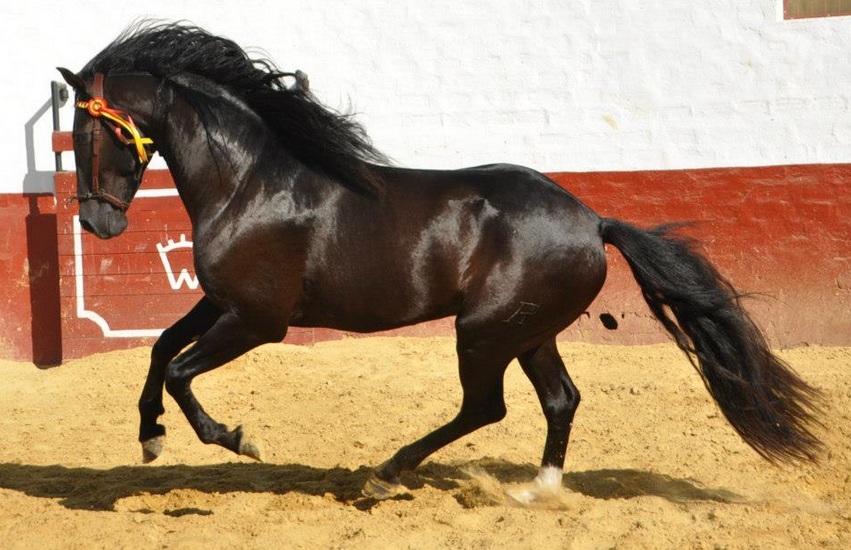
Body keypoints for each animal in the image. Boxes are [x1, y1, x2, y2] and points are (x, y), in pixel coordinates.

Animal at [58, 22, 822, 502]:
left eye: (91, 132)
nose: (97, 223)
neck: (249, 182)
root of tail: (594, 220)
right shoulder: (222, 302)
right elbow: (160, 347)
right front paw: (150, 438)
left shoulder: (257, 319)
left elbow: (182, 370)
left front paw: (234, 439)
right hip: (529, 330)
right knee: (560, 399)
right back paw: (536, 492)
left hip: (484, 331)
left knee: (486, 406)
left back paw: (386, 473)